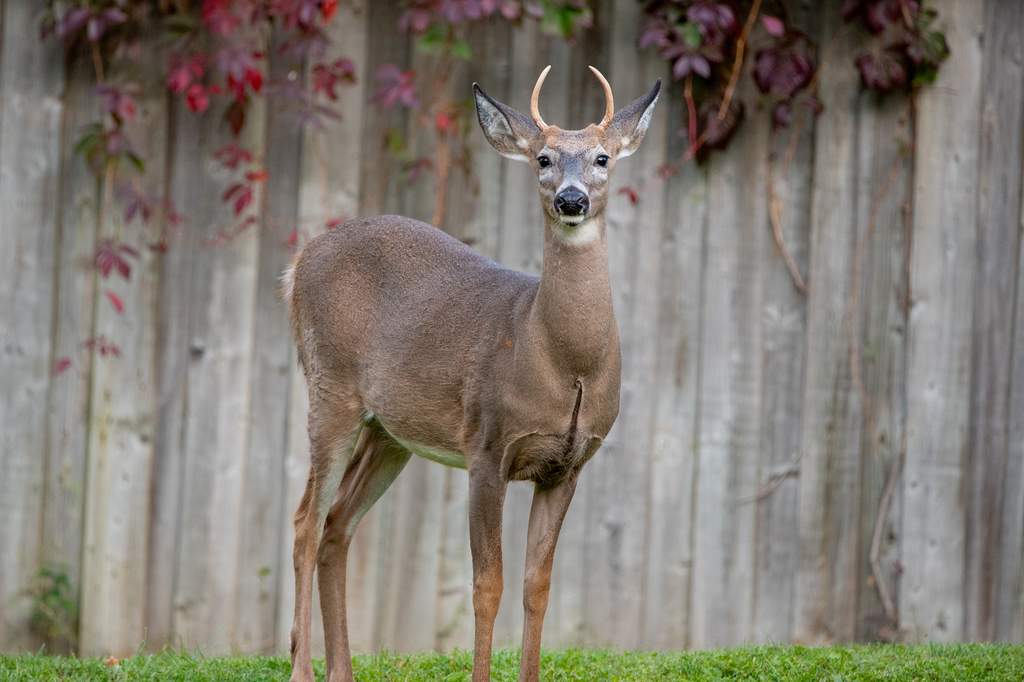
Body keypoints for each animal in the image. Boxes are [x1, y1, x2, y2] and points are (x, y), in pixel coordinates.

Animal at [283, 65, 660, 682]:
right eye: (543, 158)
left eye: (603, 157)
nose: (571, 198)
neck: (563, 365)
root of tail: (297, 263)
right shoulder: (487, 444)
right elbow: (488, 585)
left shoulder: (569, 464)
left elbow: (537, 586)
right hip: (329, 386)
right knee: (304, 525)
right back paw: (303, 669)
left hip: (390, 431)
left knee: (337, 525)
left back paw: (344, 670)